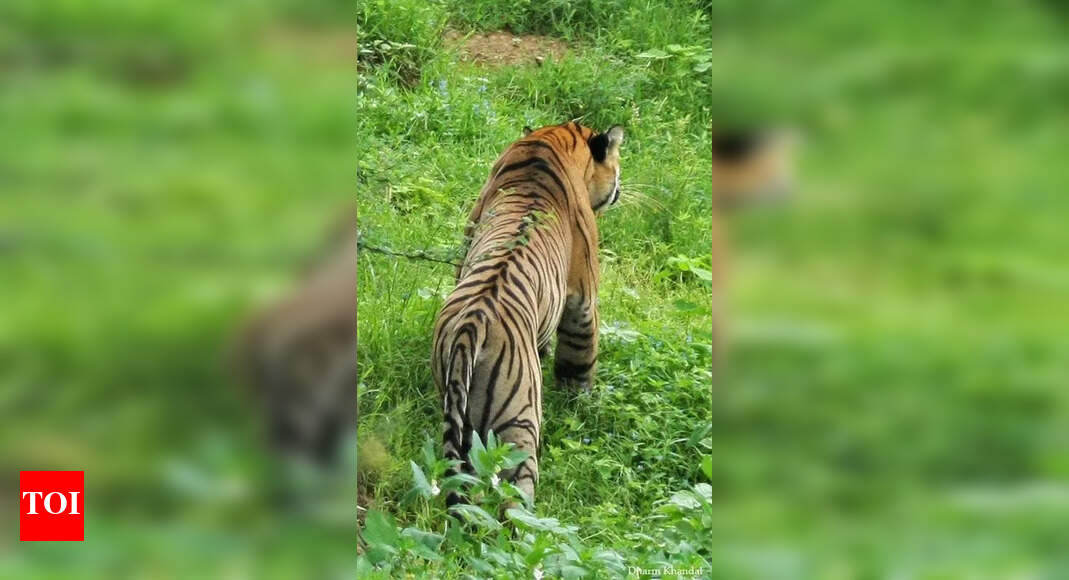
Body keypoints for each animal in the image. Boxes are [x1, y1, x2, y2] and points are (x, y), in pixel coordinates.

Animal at [432, 121, 624, 506]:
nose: (620, 188)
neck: (550, 140)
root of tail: (470, 328)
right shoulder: (583, 296)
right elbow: (580, 358)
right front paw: (581, 403)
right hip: (517, 426)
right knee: (513, 496)